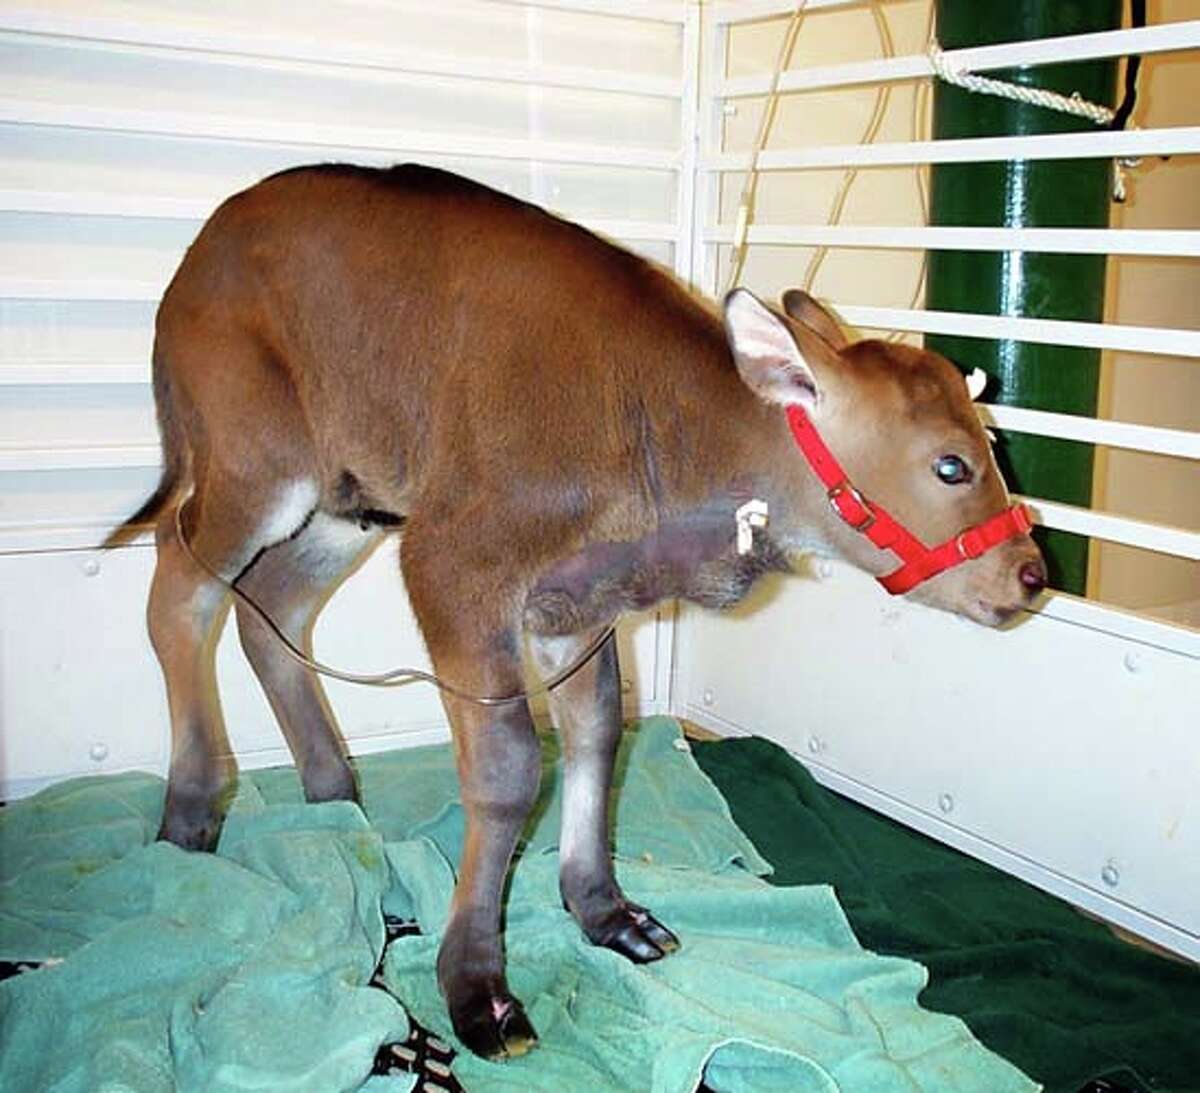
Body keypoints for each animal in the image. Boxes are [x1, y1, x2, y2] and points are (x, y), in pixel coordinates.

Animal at [105, 163, 1045, 1059]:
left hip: (350, 502)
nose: (1032, 573)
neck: (664, 432)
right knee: (180, 588)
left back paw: (334, 790)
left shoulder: (578, 601)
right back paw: (193, 809)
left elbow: (596, 729)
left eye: (994, 443)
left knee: (274, 605)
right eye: (952, 465)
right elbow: (511, 767)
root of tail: (195, 258)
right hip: (256, 466)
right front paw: (477, 985)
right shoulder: (454, 567)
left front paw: (606, 910)